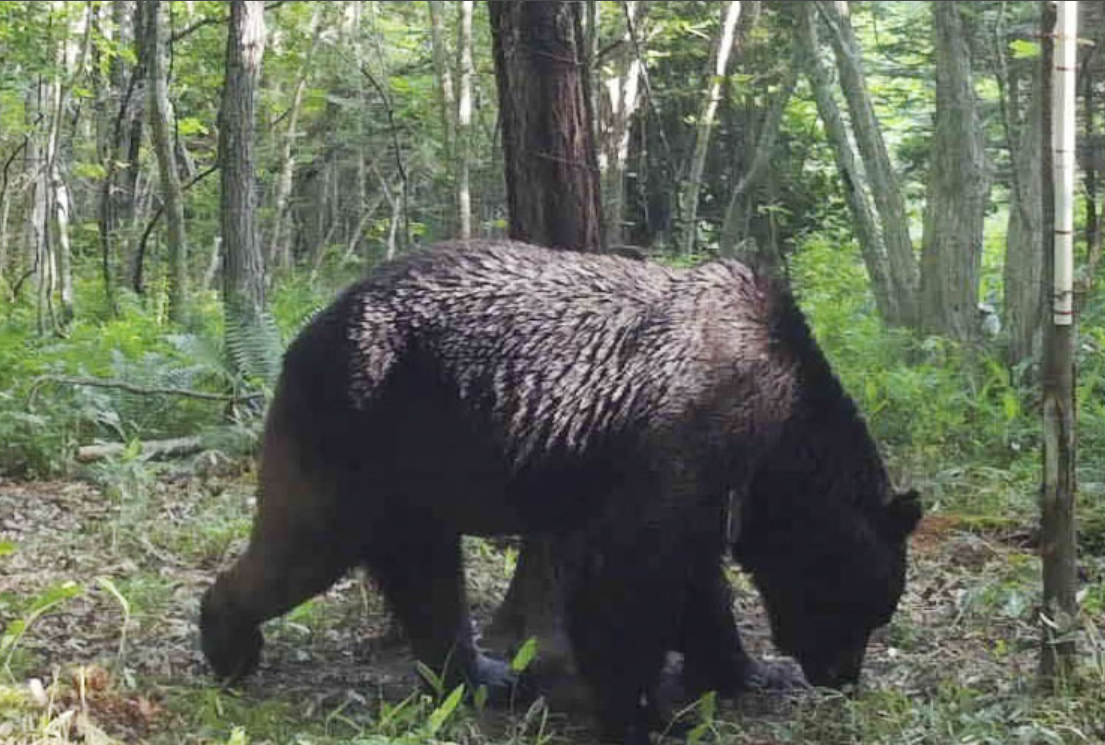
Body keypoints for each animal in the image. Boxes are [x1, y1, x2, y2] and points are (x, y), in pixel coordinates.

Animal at [200, 240, 921, 745]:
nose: (841, 676)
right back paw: (227, 641)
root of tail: (308, 328)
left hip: (416, 470)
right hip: (357, 425)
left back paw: (483, 675)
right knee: (305, 543)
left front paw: (743, 670)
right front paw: (643, 713)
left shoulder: (707, 486)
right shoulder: (686, 435)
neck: (778, 435)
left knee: (425, 575)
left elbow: (695, 580)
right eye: (867, 609)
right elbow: (627, 575)